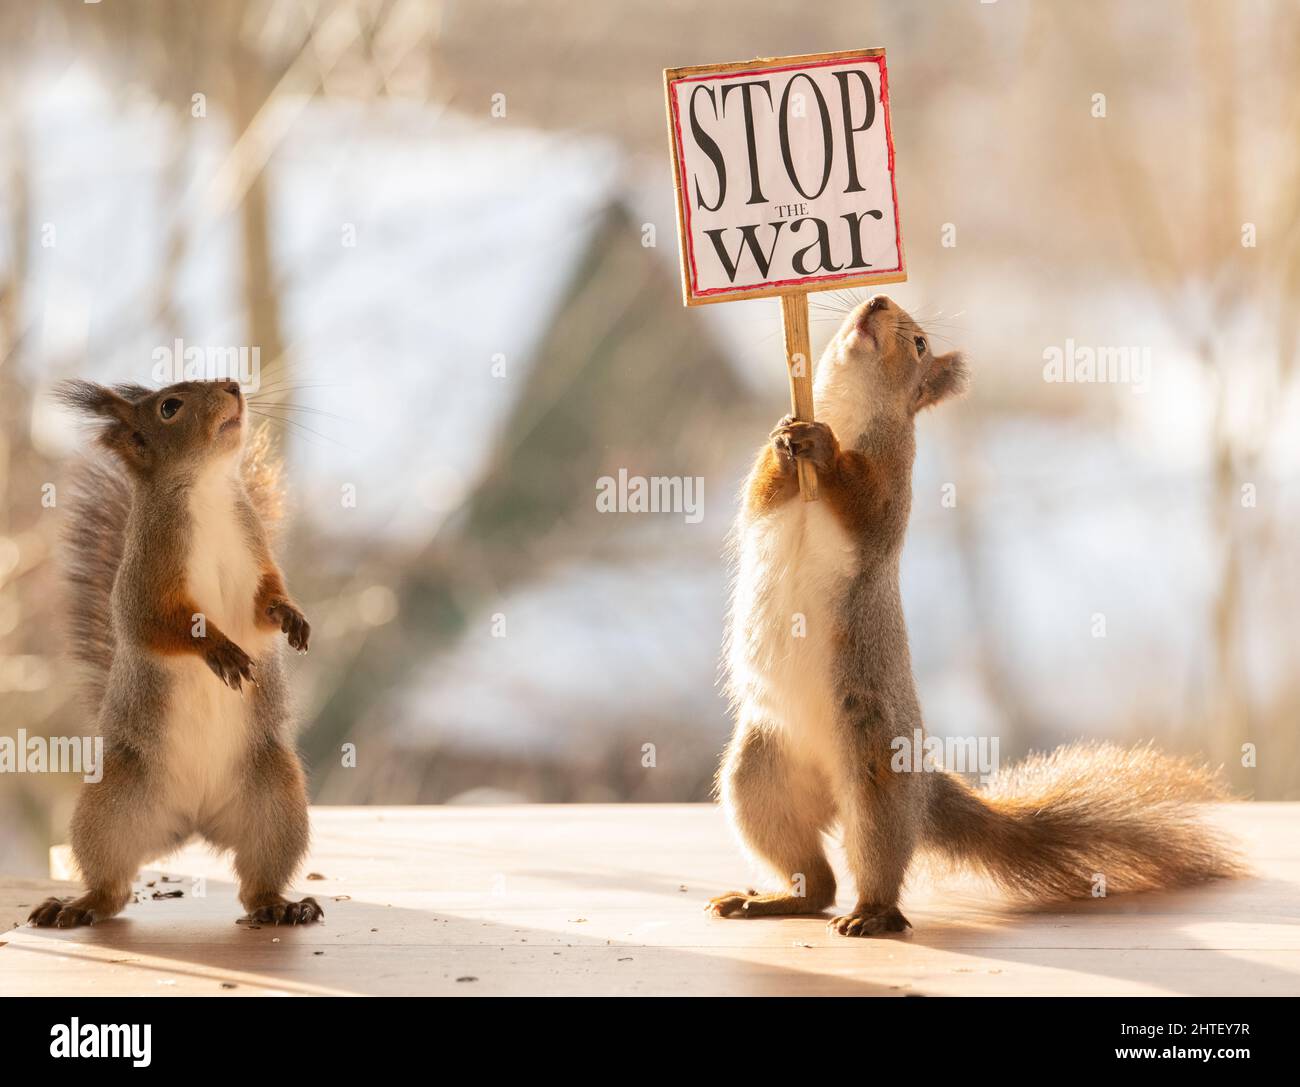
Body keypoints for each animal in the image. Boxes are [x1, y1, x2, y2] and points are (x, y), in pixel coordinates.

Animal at [28, 378, 323, 928]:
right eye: (170, 407)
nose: (233, 384)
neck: (207, 490)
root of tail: (194, 820)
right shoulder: (144, 581)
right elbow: (159, 627)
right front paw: (219, 651)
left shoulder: (256, 558)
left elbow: (266, 604)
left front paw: (292, 617)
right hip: (111, 806)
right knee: (111, 885)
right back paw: (78, 905)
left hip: (277, 801)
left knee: (257, 880)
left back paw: (280, 906)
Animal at [709, 295, 1241, 936]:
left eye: (918, 343)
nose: (876, 300)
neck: (847, 409)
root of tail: (919, 790)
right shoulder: (763, 494)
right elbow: (758, 493)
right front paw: (787, 439)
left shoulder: (894, 487)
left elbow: (867, 505)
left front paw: (822, 448)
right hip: (760, 777)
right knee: (814, 878)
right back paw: (772, 900)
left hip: (876, 771)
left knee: (873, 860)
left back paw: (872, 915)